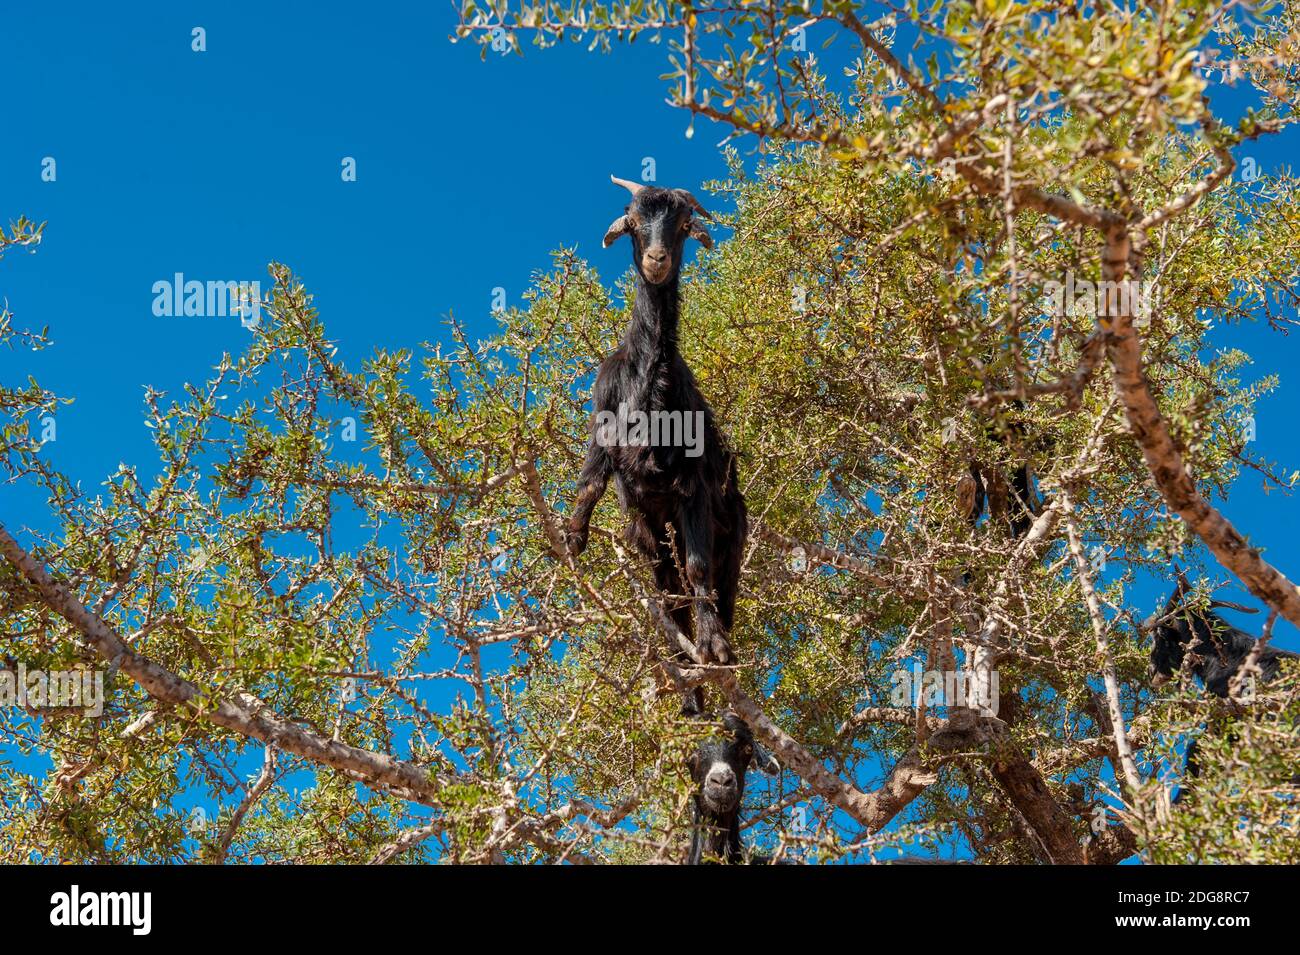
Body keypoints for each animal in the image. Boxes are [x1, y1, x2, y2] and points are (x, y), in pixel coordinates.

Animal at [566, 176, 747, 714]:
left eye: (684, 224)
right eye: (631, 220)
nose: (657, 260)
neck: (648, 386)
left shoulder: (694, 490)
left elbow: (699, 567)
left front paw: (714, 647)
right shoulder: (606, 421)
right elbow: (591, 479)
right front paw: (573, 537)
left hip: (734, 534)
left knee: (714, 591)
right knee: (670, 596)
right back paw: (690, 693)